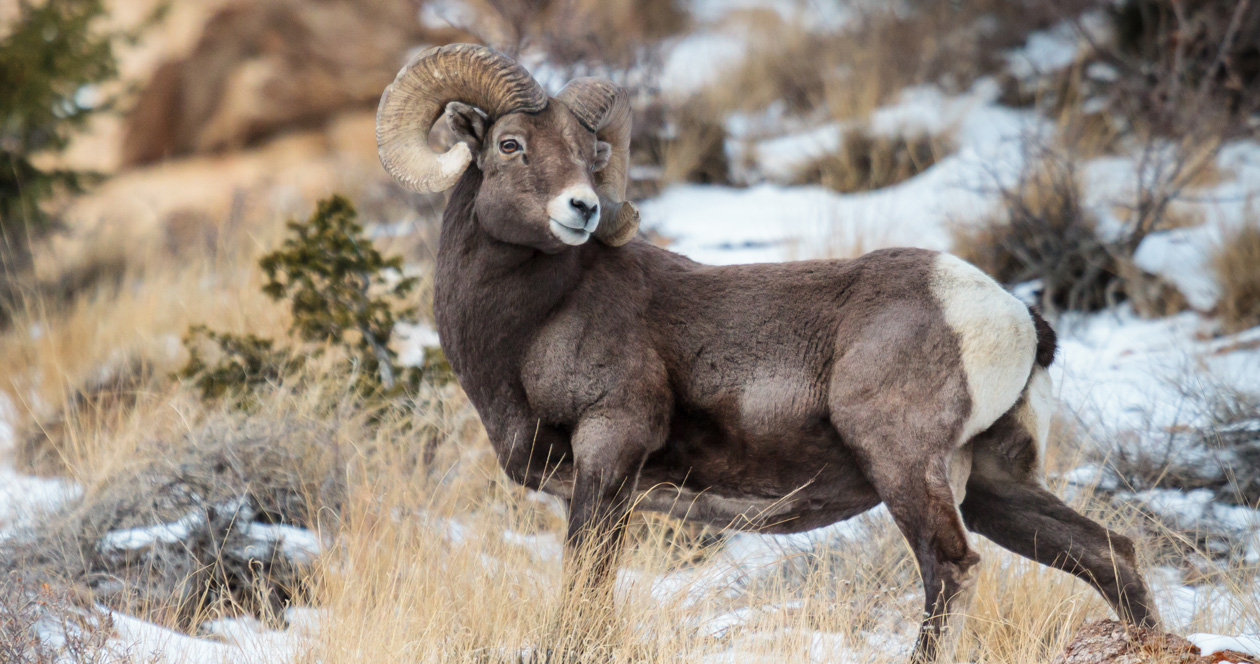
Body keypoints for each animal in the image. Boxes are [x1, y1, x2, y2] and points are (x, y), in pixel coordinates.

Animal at [376, 44, 1159, 662]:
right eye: (510, 145)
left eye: (589, 153)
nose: (582, 209)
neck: (531, 327)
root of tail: (1014, 317)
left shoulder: (609, 444)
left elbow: (586, 581)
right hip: (997, 484)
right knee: (1108, 554)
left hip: (905, 463)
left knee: (953, 566)